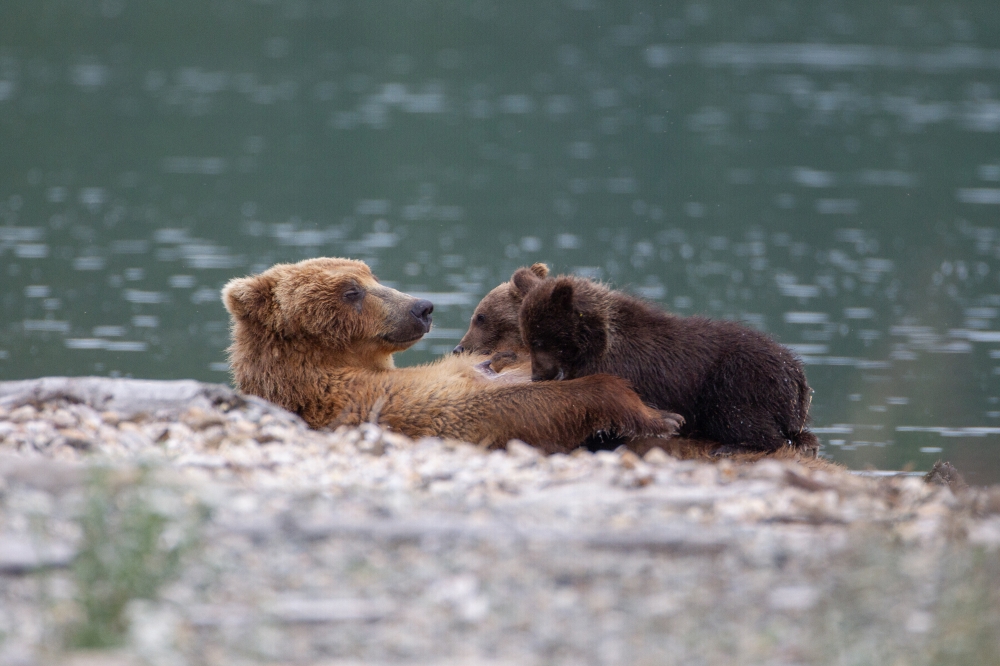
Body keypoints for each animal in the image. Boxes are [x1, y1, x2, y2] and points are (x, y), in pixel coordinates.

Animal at [222, 257, 683, 454]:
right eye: (351, 291)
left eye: (372, 274)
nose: (422, 307)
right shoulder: (382, 404)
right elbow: (525, 404)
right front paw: (657, 414)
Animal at [514, 270, 819, 454]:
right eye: (527, 340)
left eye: (539, 341)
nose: (538, 375)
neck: (595, 342)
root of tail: (798, 375)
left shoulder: (621, 367)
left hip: (739, 378)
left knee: (738, 415)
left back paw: (734, 446)